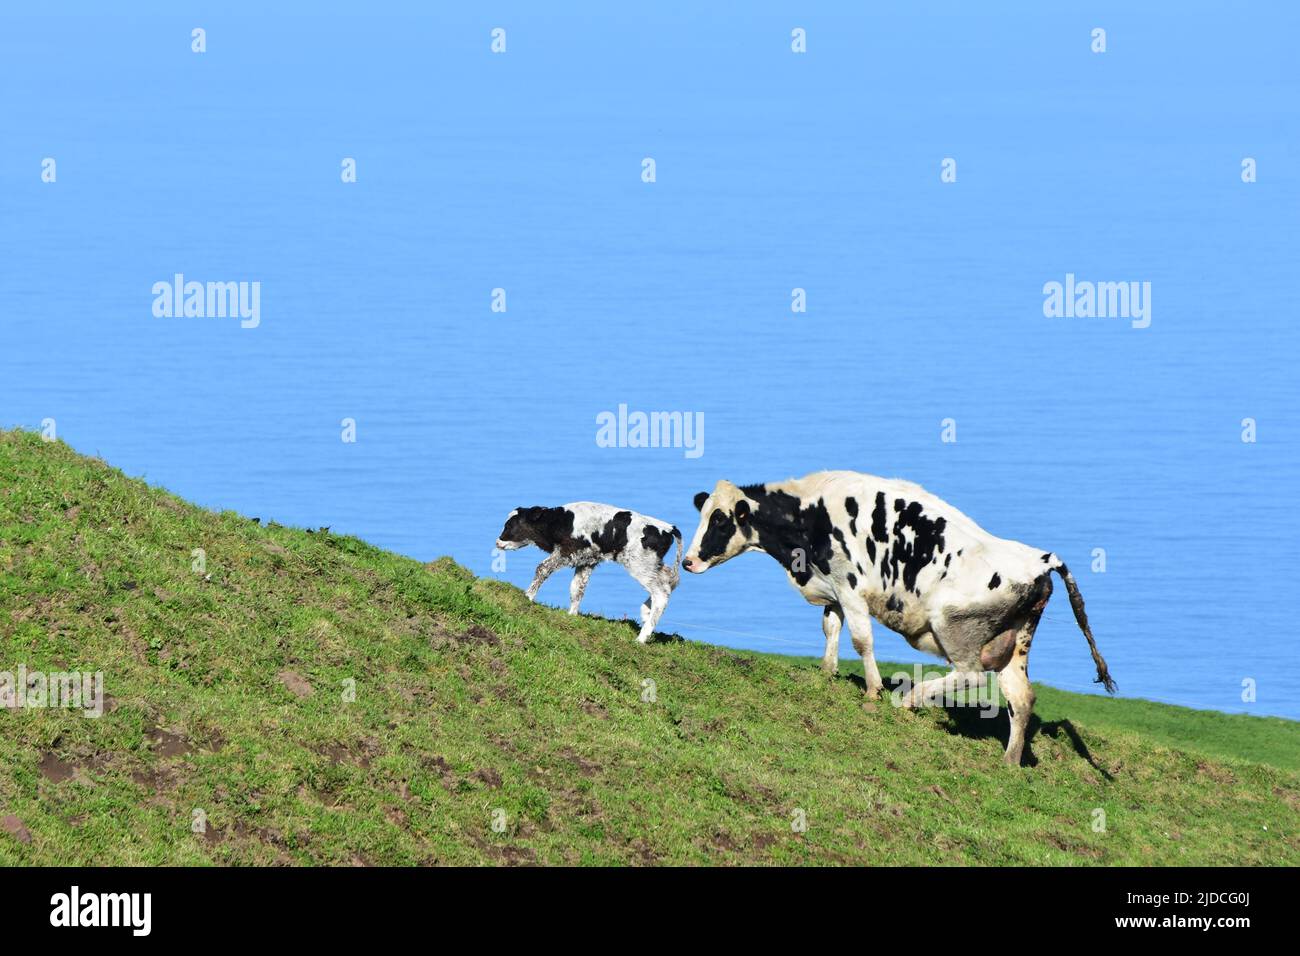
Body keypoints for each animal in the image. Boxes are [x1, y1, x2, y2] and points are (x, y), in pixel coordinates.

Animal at [495, 503, 683, 643]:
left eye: (509, 524)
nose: (498, 542)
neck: (562, 522)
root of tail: (668, 528)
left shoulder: (566, 552)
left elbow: (542, 568)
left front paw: (527, 596)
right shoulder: (586, 561)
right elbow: (577, 588)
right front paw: (571, 615)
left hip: (639, 564)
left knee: (661, 592)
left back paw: (642, 637)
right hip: (653, 565)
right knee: (669, 581)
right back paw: (645, 612)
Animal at [682, 473, 1115, 764]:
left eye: (720, 520)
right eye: (703, 515)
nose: (688, 561)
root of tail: (1039, 560)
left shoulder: (851, 586)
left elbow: (862, 639)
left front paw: (873, 690)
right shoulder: (834, 588)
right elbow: (830, 626)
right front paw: (827, 671)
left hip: (954, 627)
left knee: (973, 675)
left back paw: (911, 698)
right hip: (1014, 642)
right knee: (1021, 698)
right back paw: (1009, 761)